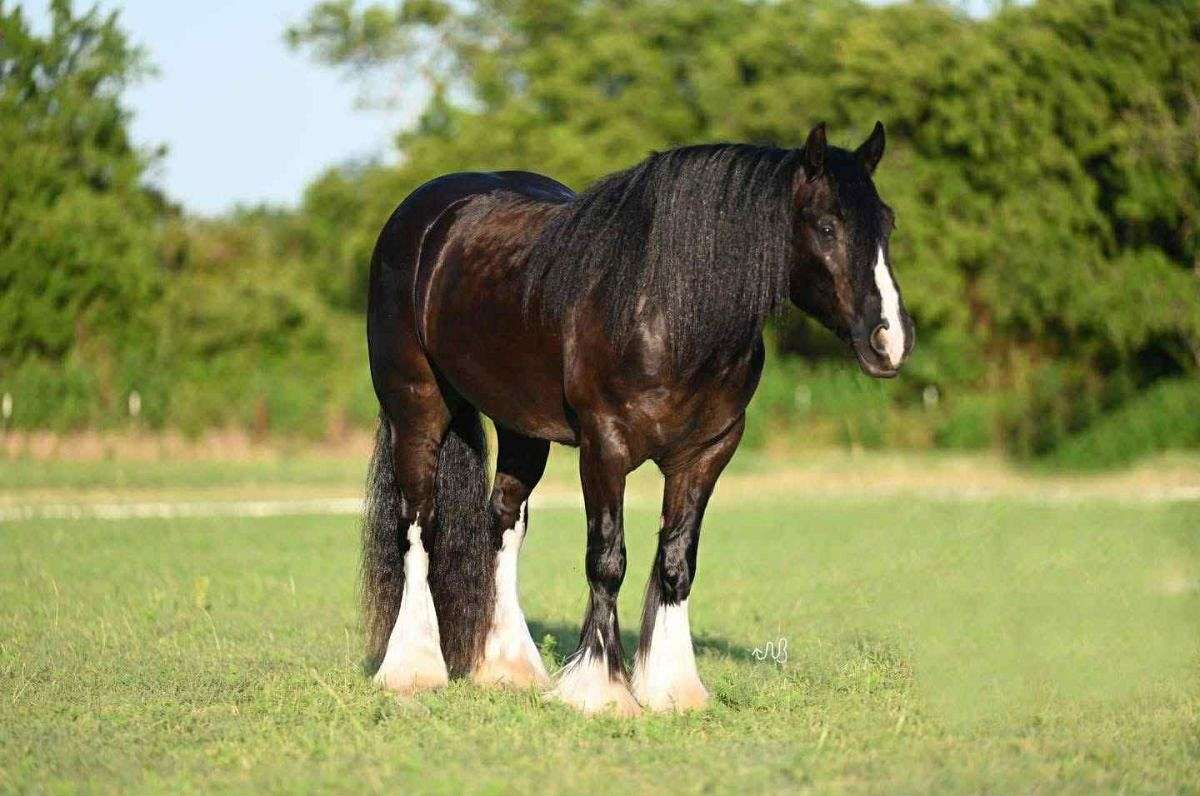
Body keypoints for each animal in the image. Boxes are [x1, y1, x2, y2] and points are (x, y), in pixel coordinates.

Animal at [362, 121, 914, 715]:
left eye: (886, 222)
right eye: (828, 225)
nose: (890, 341)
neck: (666, 312)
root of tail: (427, 214)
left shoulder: (707, 454)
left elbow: (676, 561)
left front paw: (673, 687)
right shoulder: (605, 448)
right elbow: (607, 559)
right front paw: (600, 689)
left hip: (521, 427)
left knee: (503, 520)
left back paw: (508, 667)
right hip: (416, 408)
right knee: (419, 523)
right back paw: (412, 668)